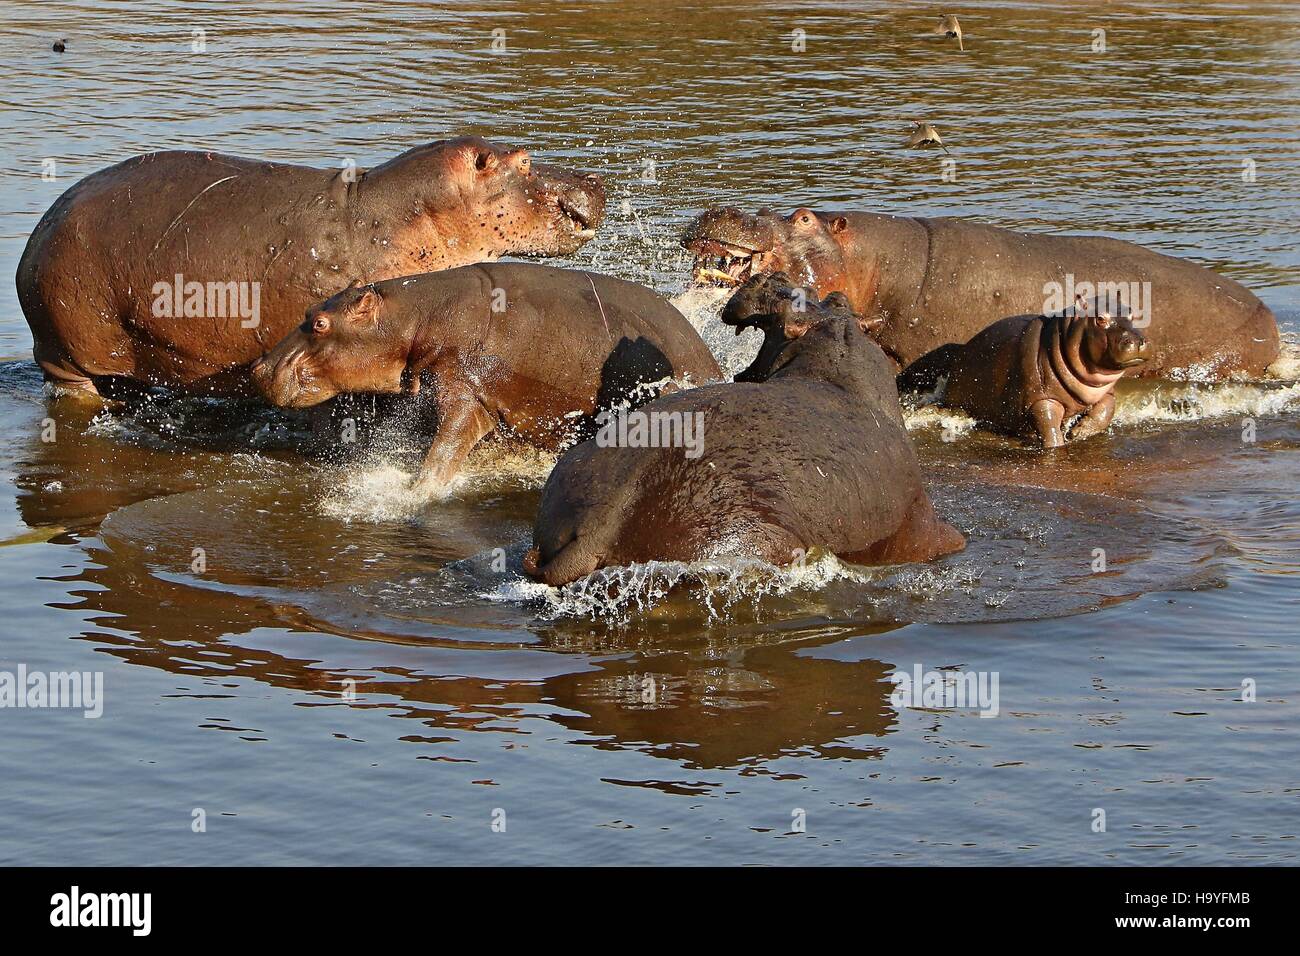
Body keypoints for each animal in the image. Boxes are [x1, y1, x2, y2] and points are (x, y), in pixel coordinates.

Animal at [251, 262, 721, 491]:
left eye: (321, 324)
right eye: (310, 310)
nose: (258, 368)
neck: (414, 318)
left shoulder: (467, 391)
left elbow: (445, 447)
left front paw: (416, 492)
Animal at [522, 272, 965, 586]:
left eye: (836, 298)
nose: (777, 278)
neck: (833, 354)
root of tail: (596, 526)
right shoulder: (928, 528)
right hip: (756, 536)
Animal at [903, 297, 1152, 447]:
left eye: (1132, 314)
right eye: (1100, 319)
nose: (1139, 340)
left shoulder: (1105, 393)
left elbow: (1106, 410)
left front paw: (1078, 432)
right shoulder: (1041, 400)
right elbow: (1049, 426)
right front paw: (1057, 444)